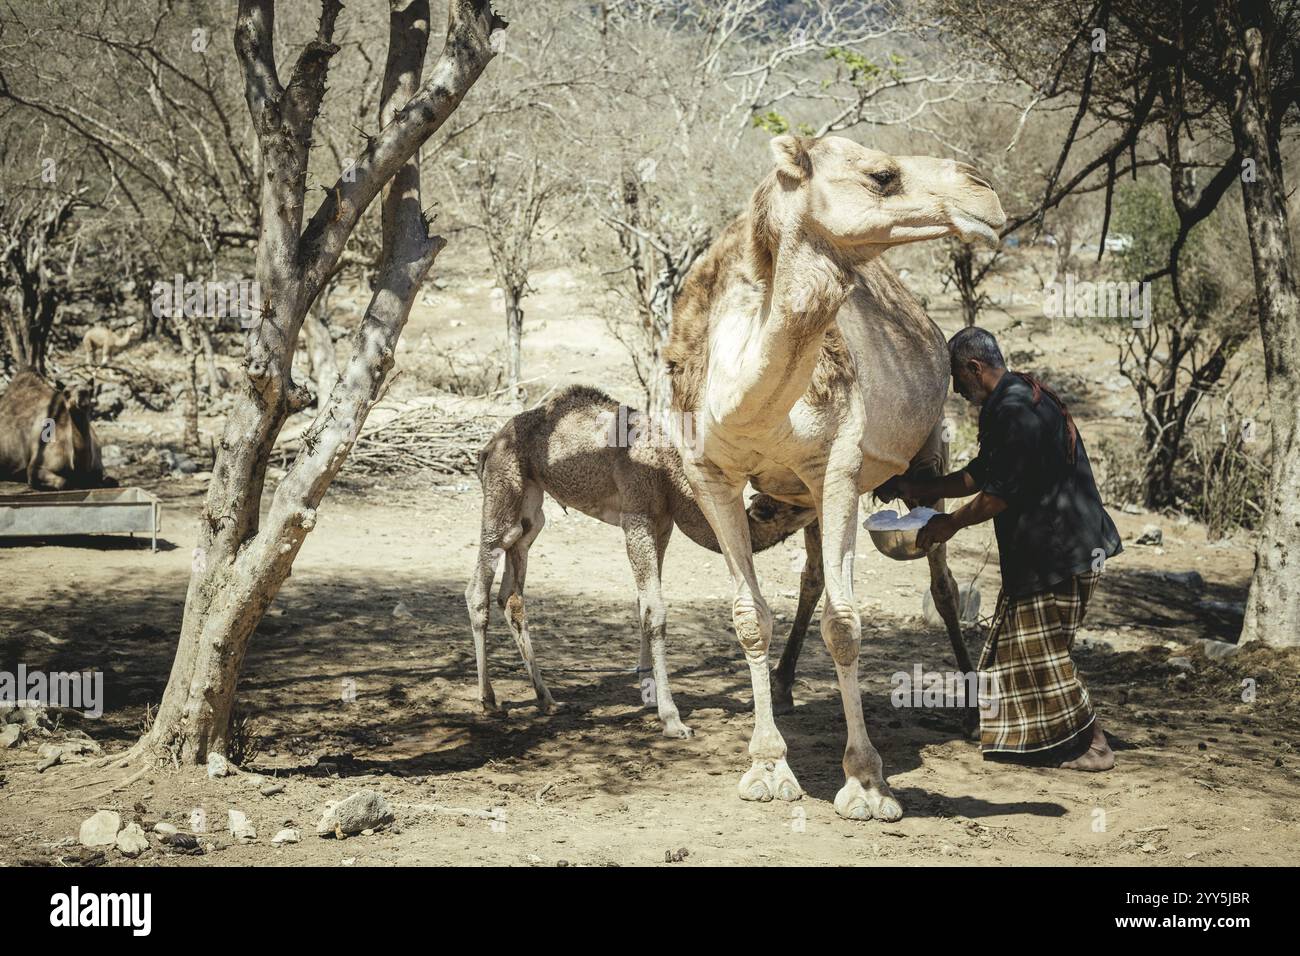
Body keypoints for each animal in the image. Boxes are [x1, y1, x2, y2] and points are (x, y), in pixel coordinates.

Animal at [467, 384, 817, 737]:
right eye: (794, 502)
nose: (817, 494)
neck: (671, 475)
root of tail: (488, 447)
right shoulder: (637, 517)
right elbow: (655, 611)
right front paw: (673, 719)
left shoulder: (663, 525)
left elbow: (642, 605)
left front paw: (649, 696)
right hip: (503, 490)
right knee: (479, 588)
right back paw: (489, 701)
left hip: (530, 510)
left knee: (512, 592)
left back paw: (548, 700)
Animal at [663, 134, 1005, 822]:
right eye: (882, 175)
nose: (986, 193)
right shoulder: (711, 474)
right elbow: (750, 615)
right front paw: (768, 767)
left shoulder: (839, 463)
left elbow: (845, 623)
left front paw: (867, 784)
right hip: (806, 493)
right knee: (813, 576)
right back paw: (784, 684)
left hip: (928, 446)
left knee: (942, 579)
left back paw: (970, 706)